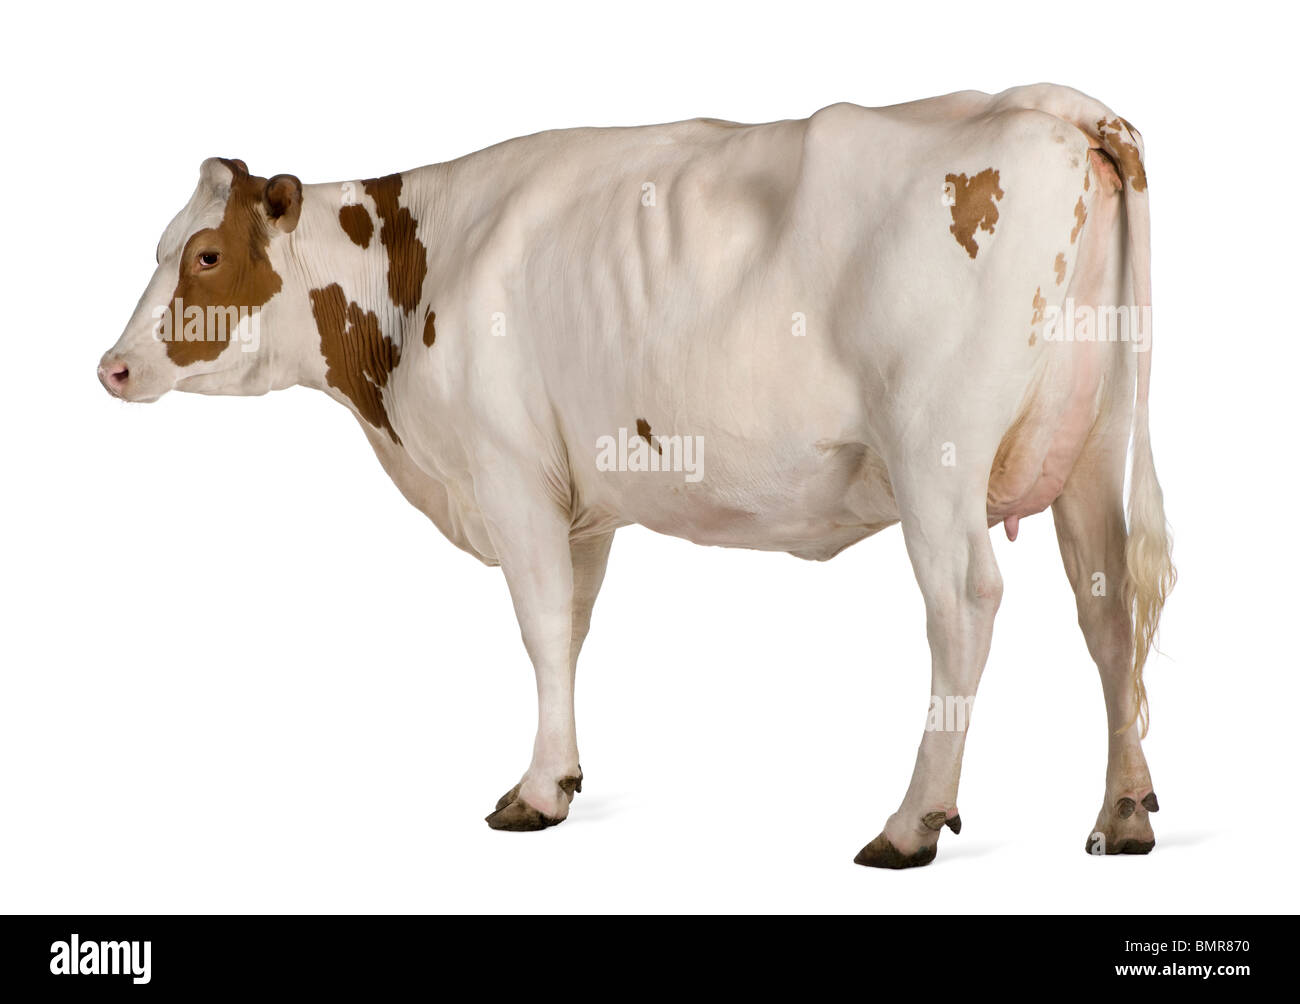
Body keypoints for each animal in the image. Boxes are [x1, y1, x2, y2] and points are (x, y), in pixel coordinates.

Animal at [98, 83, 1174, 868]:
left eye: (206, 254)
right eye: (160, 246)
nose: (112, 366)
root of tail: (1052, 105)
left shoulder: (510, 473)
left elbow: (538, 629)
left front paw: (534, 793)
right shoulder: (583, 505)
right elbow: (571, 631)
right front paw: (563, 777)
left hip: (934, 454)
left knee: (964, 608)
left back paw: (911, 822)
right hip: (1091, 440)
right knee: (1108, 604)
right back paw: (1122, 811)